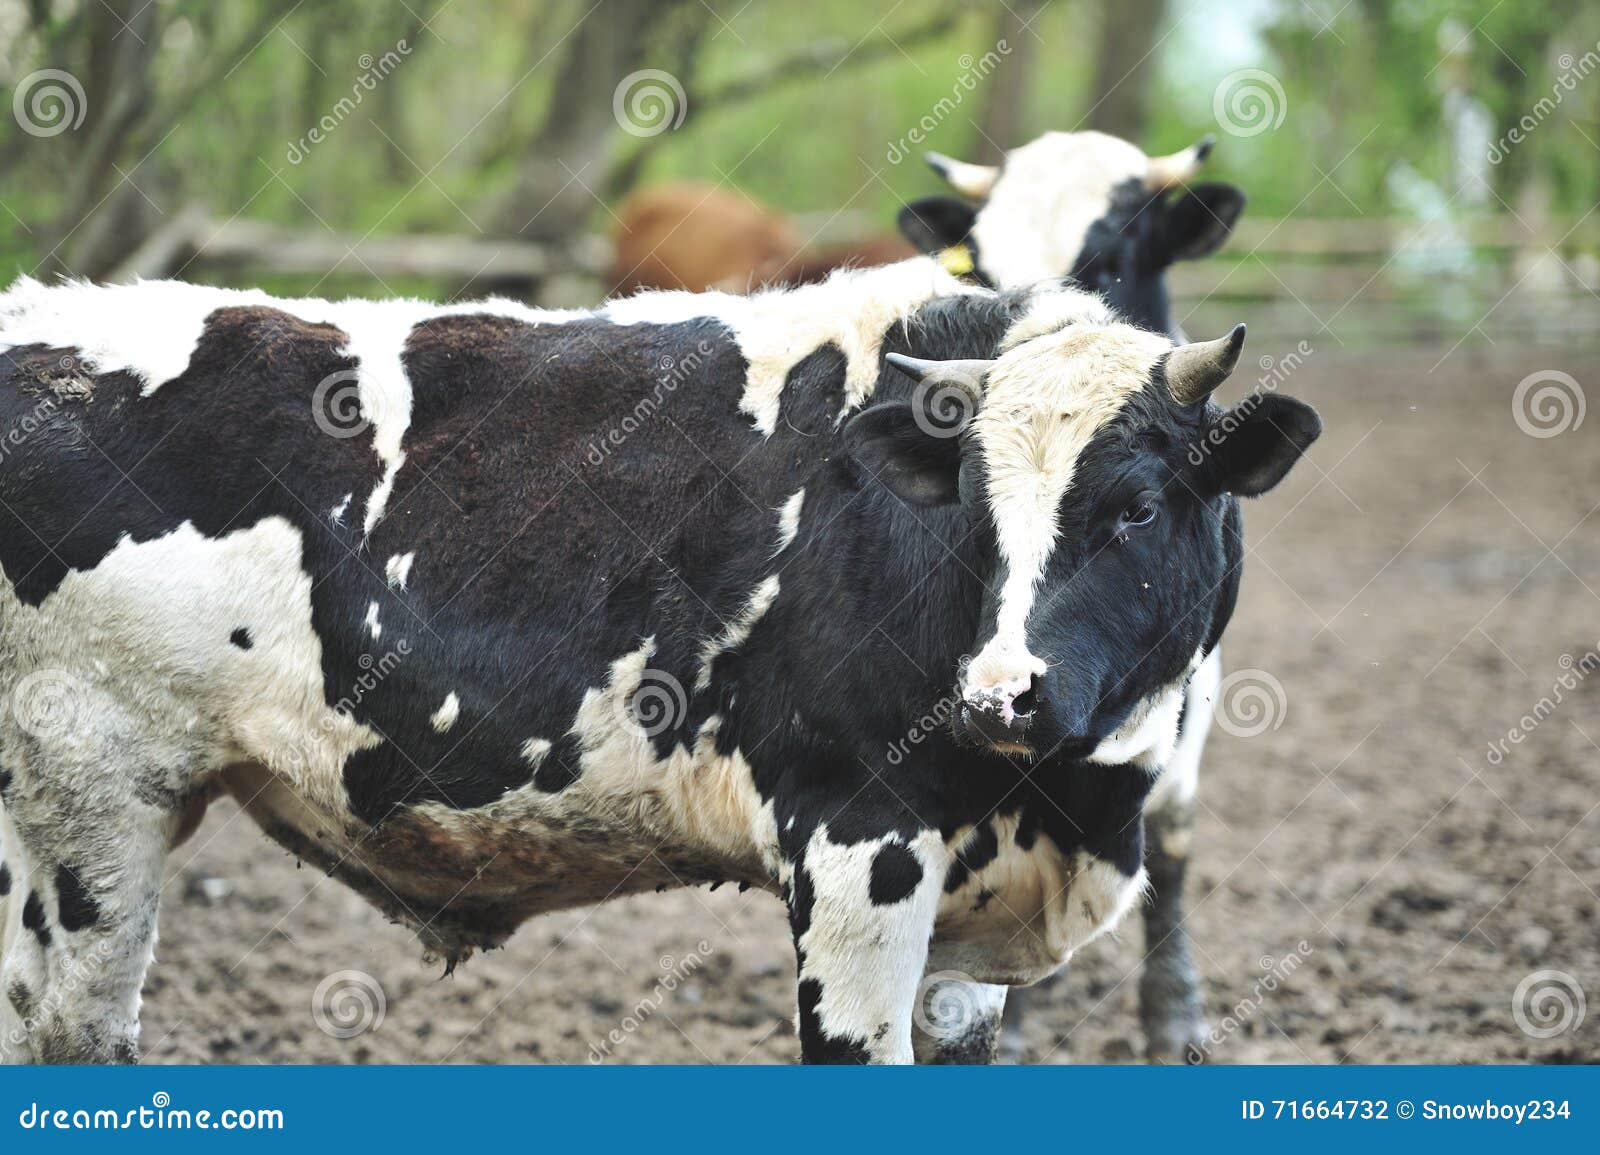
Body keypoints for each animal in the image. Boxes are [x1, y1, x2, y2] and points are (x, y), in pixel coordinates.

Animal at [0, 261, 1319, 1064]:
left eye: (1137, 507)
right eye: (979, 512)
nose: (999, 696)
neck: (1066, 805)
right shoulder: (859, 845)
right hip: (97, 797)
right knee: (77, 1033)